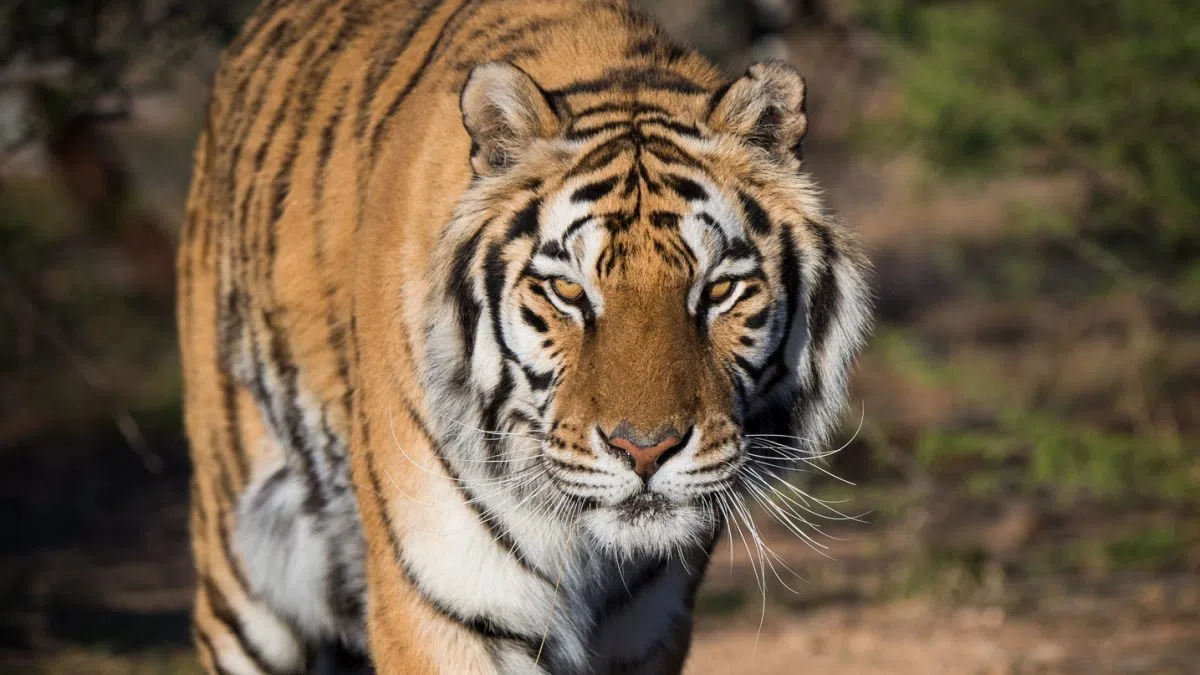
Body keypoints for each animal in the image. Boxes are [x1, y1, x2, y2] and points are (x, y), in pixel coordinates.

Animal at [176, 0, 872, 673]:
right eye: (567, 291)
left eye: (719, 290)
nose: (646, 451)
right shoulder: (441, 606)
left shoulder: (650, 628)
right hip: (247, 581)